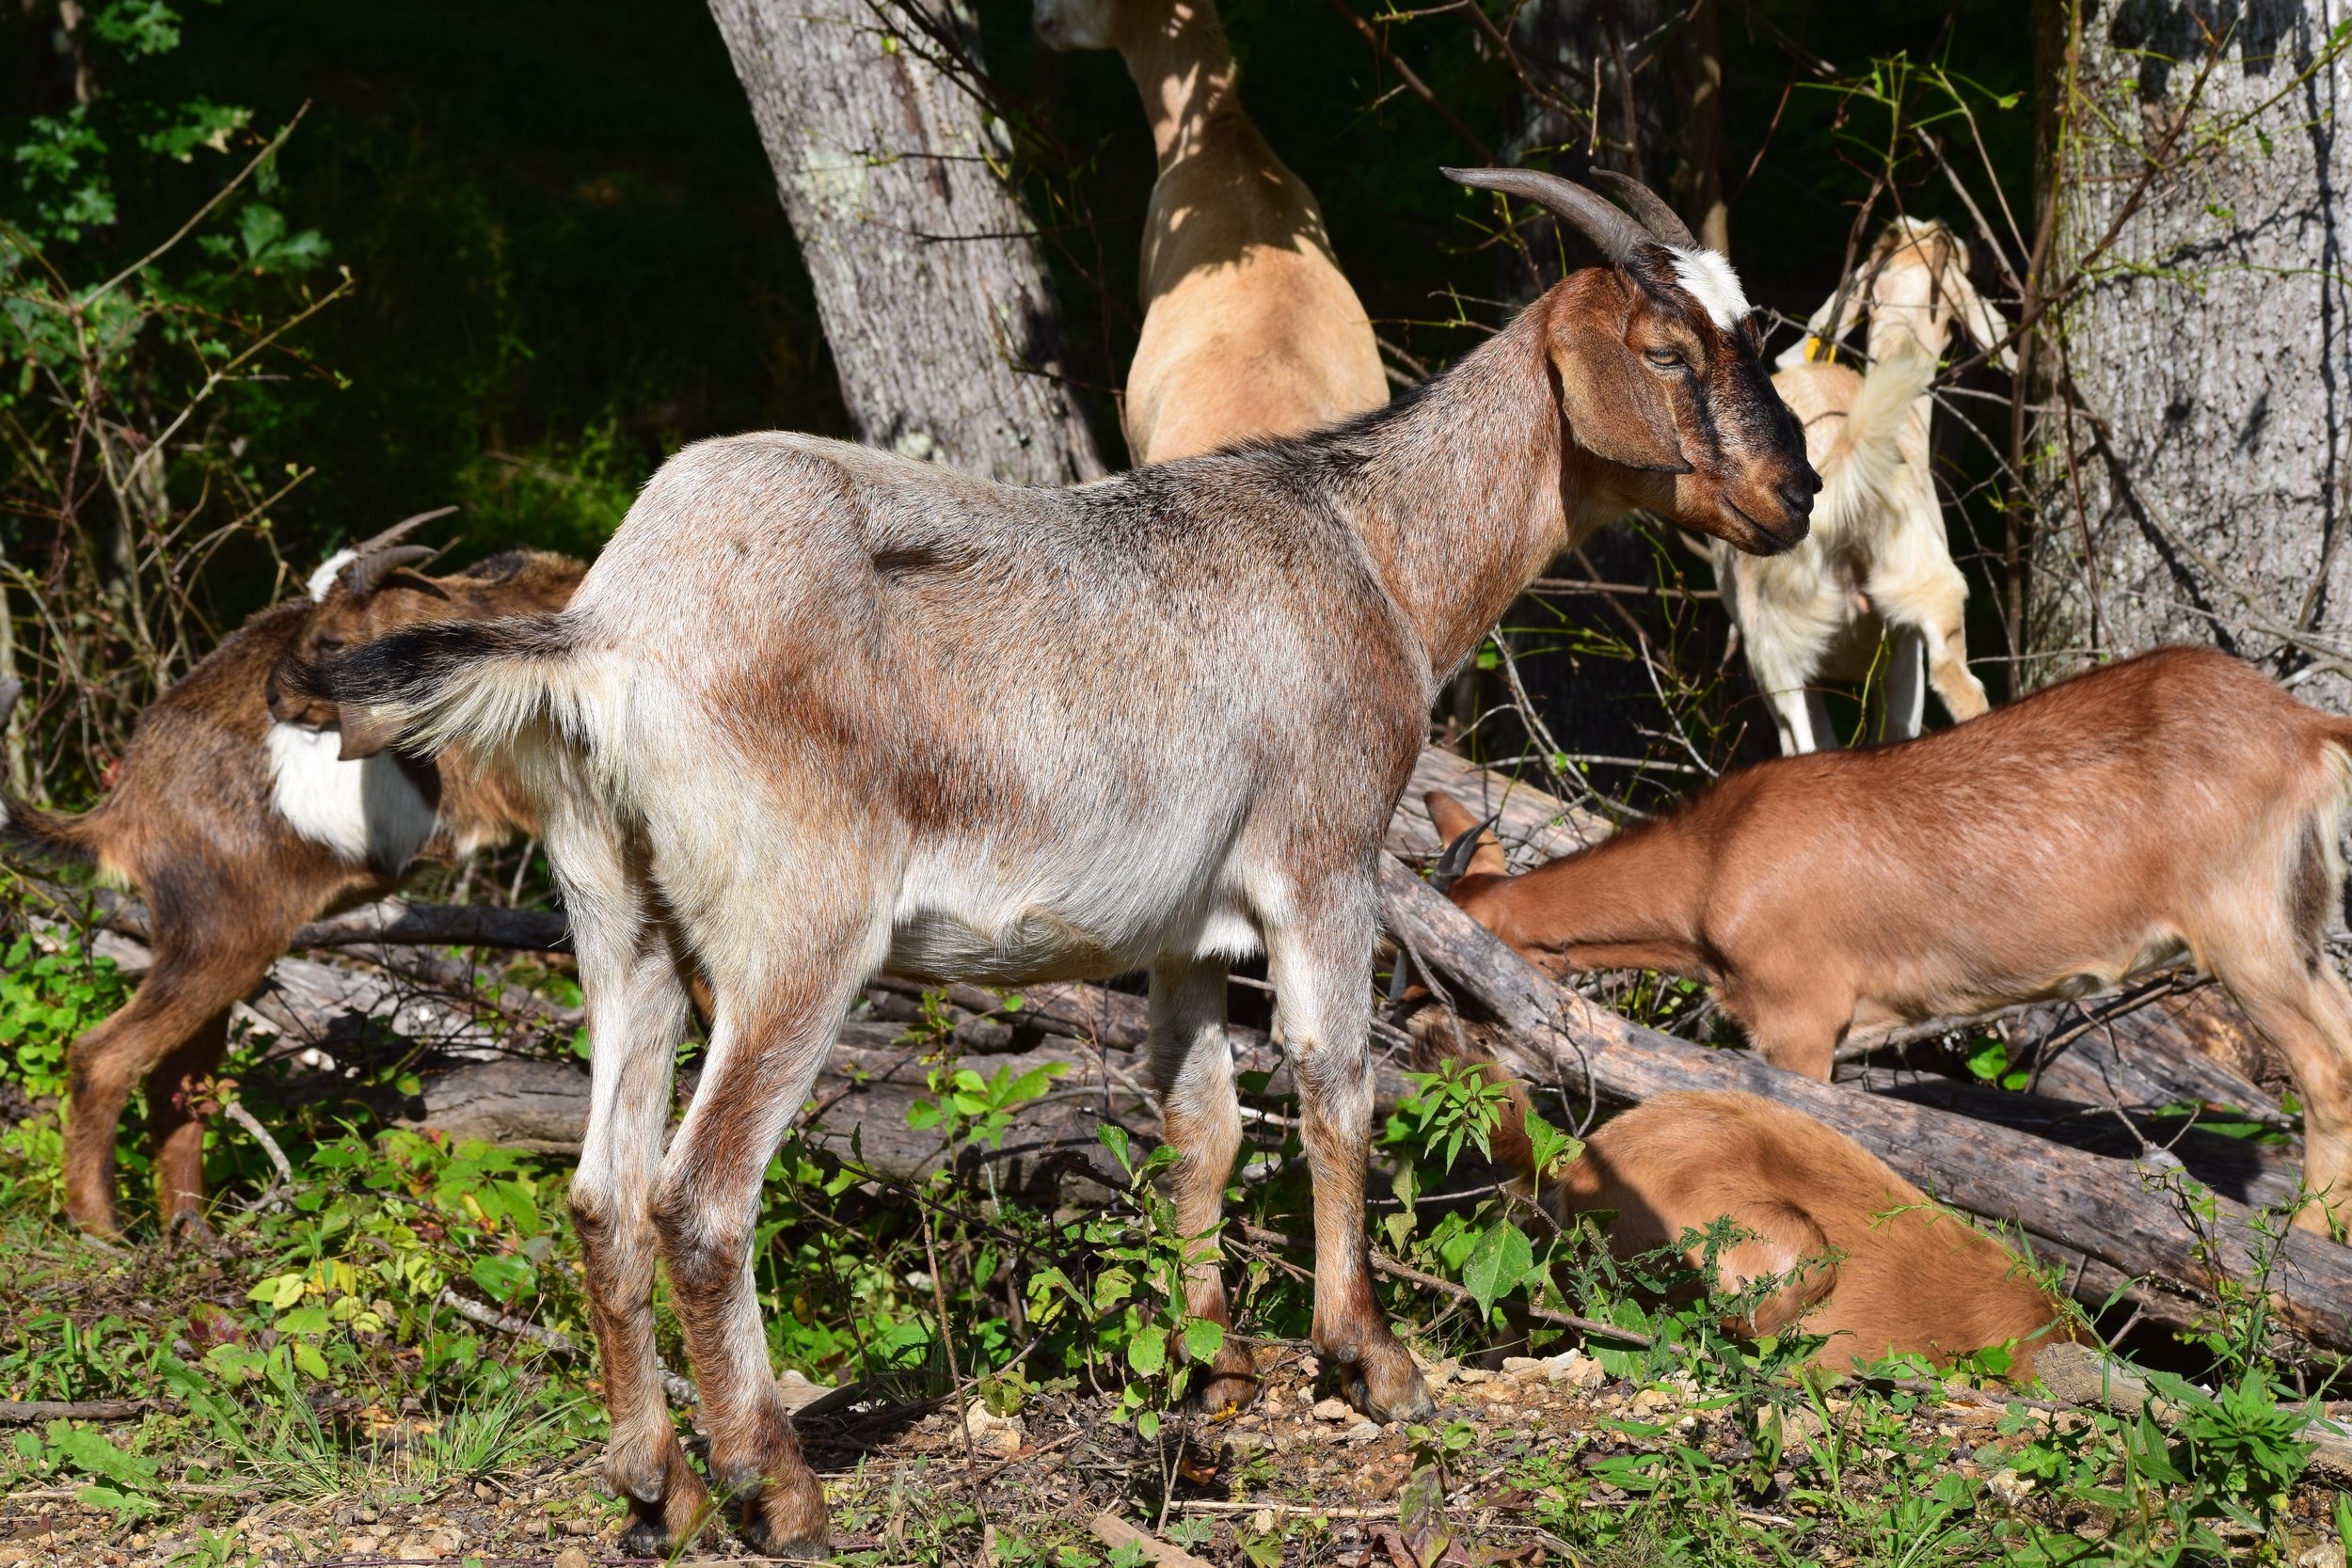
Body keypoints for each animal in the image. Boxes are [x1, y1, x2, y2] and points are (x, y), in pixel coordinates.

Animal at [0, 519, 582, 1237]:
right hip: (224, 937)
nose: (275, 697)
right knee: (104, 1057)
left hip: (203, 941)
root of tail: (126, 806)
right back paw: (104, 1232)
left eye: (332, 641)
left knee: (178, 1085)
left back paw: (191, 1233)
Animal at [296, 169, 1818, 1557]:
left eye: (1759, 334)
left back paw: (653, 1485)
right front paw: (1370, 1360)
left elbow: (1199, 1118)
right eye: (1666, 351)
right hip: (798, 928)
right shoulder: (1323, 856)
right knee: (699, 1196)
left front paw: (1215, 1363)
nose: (1791, 493)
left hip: (623, 921)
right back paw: (774, 1490)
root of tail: (611, 632)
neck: (1374, 554)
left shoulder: (1188, 926)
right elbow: (1334, 1086)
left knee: (602, 1191)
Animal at [1421, 644, 2352, 1235]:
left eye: (1438, 959)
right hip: (2296, 920)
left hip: (2243, 924)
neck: (1713, 865)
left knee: (2325, 1068)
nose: (1420, 1047)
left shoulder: (1800, 1015)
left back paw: (2307, 1239)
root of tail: (2306, 727)